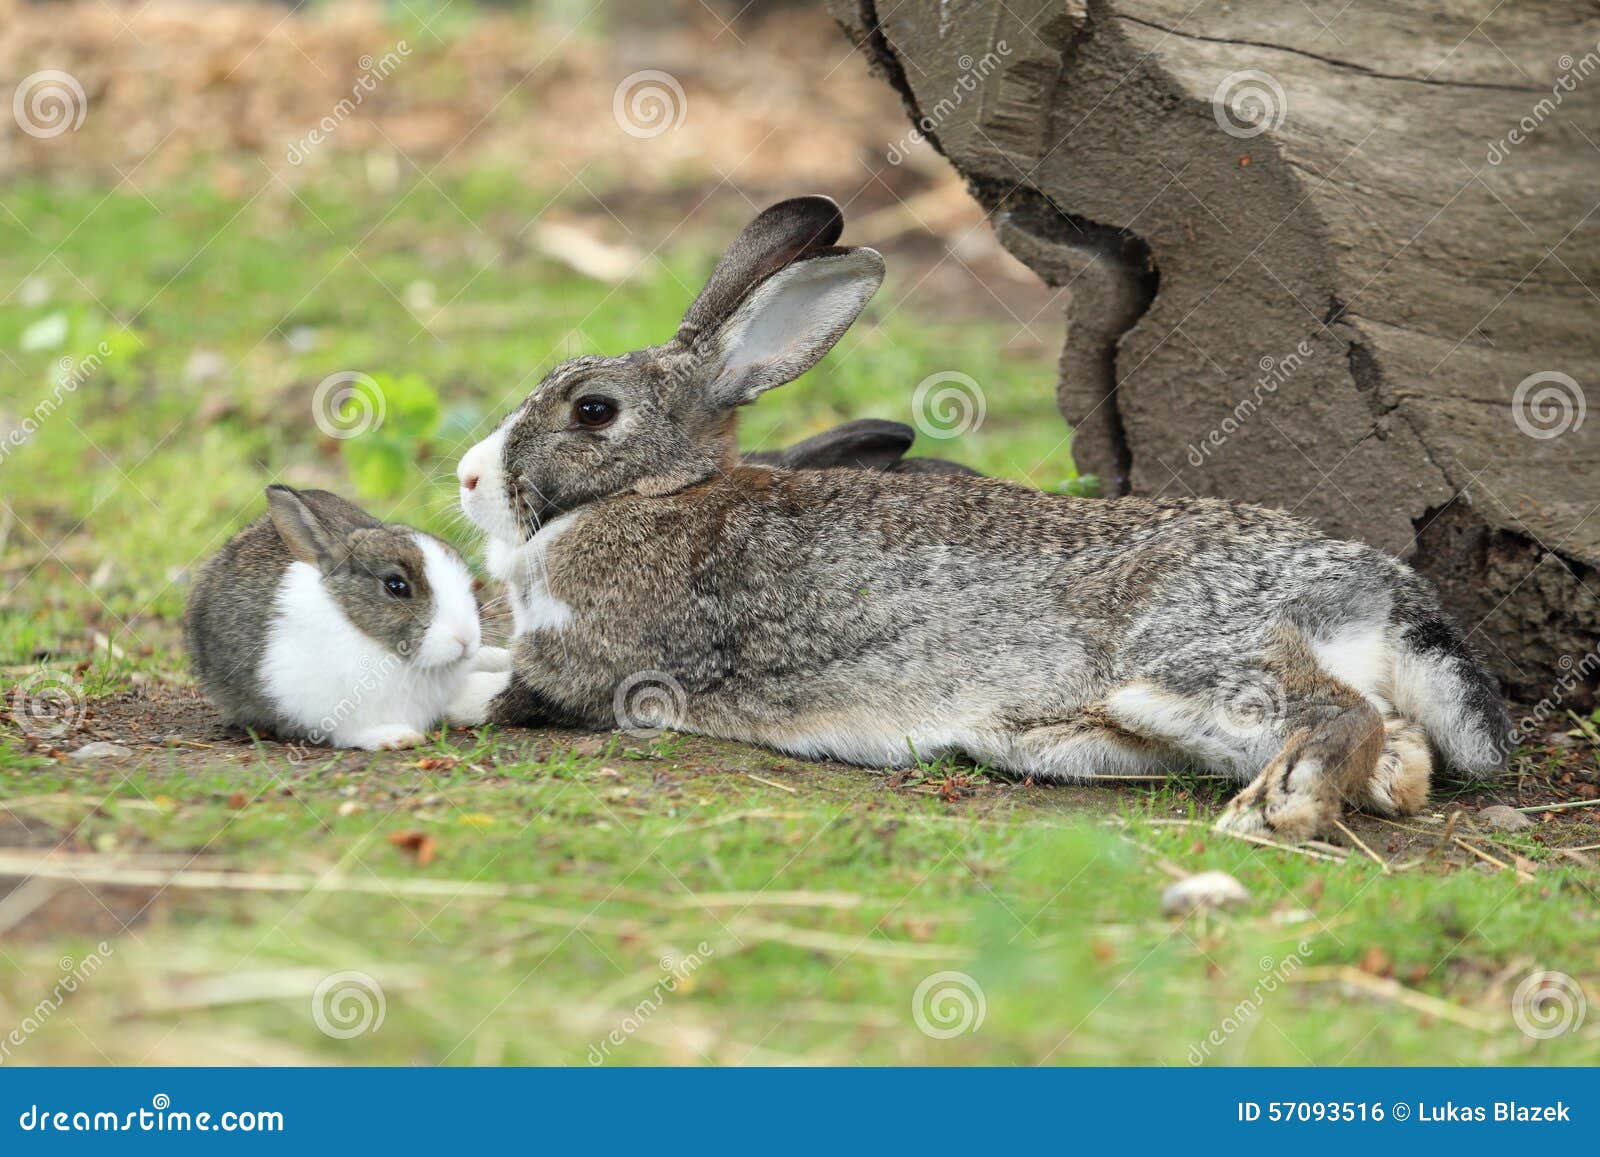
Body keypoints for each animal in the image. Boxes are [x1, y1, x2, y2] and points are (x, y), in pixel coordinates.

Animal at [451, 195, 1513, 842]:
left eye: (592, 410)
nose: (466, 478)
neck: (659, 493)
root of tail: (1385, 591)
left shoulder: (596, 663)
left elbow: (515, 689)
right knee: (1398, 747)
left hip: (1186, 659)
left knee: (1338, 712)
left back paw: (1279, 810)